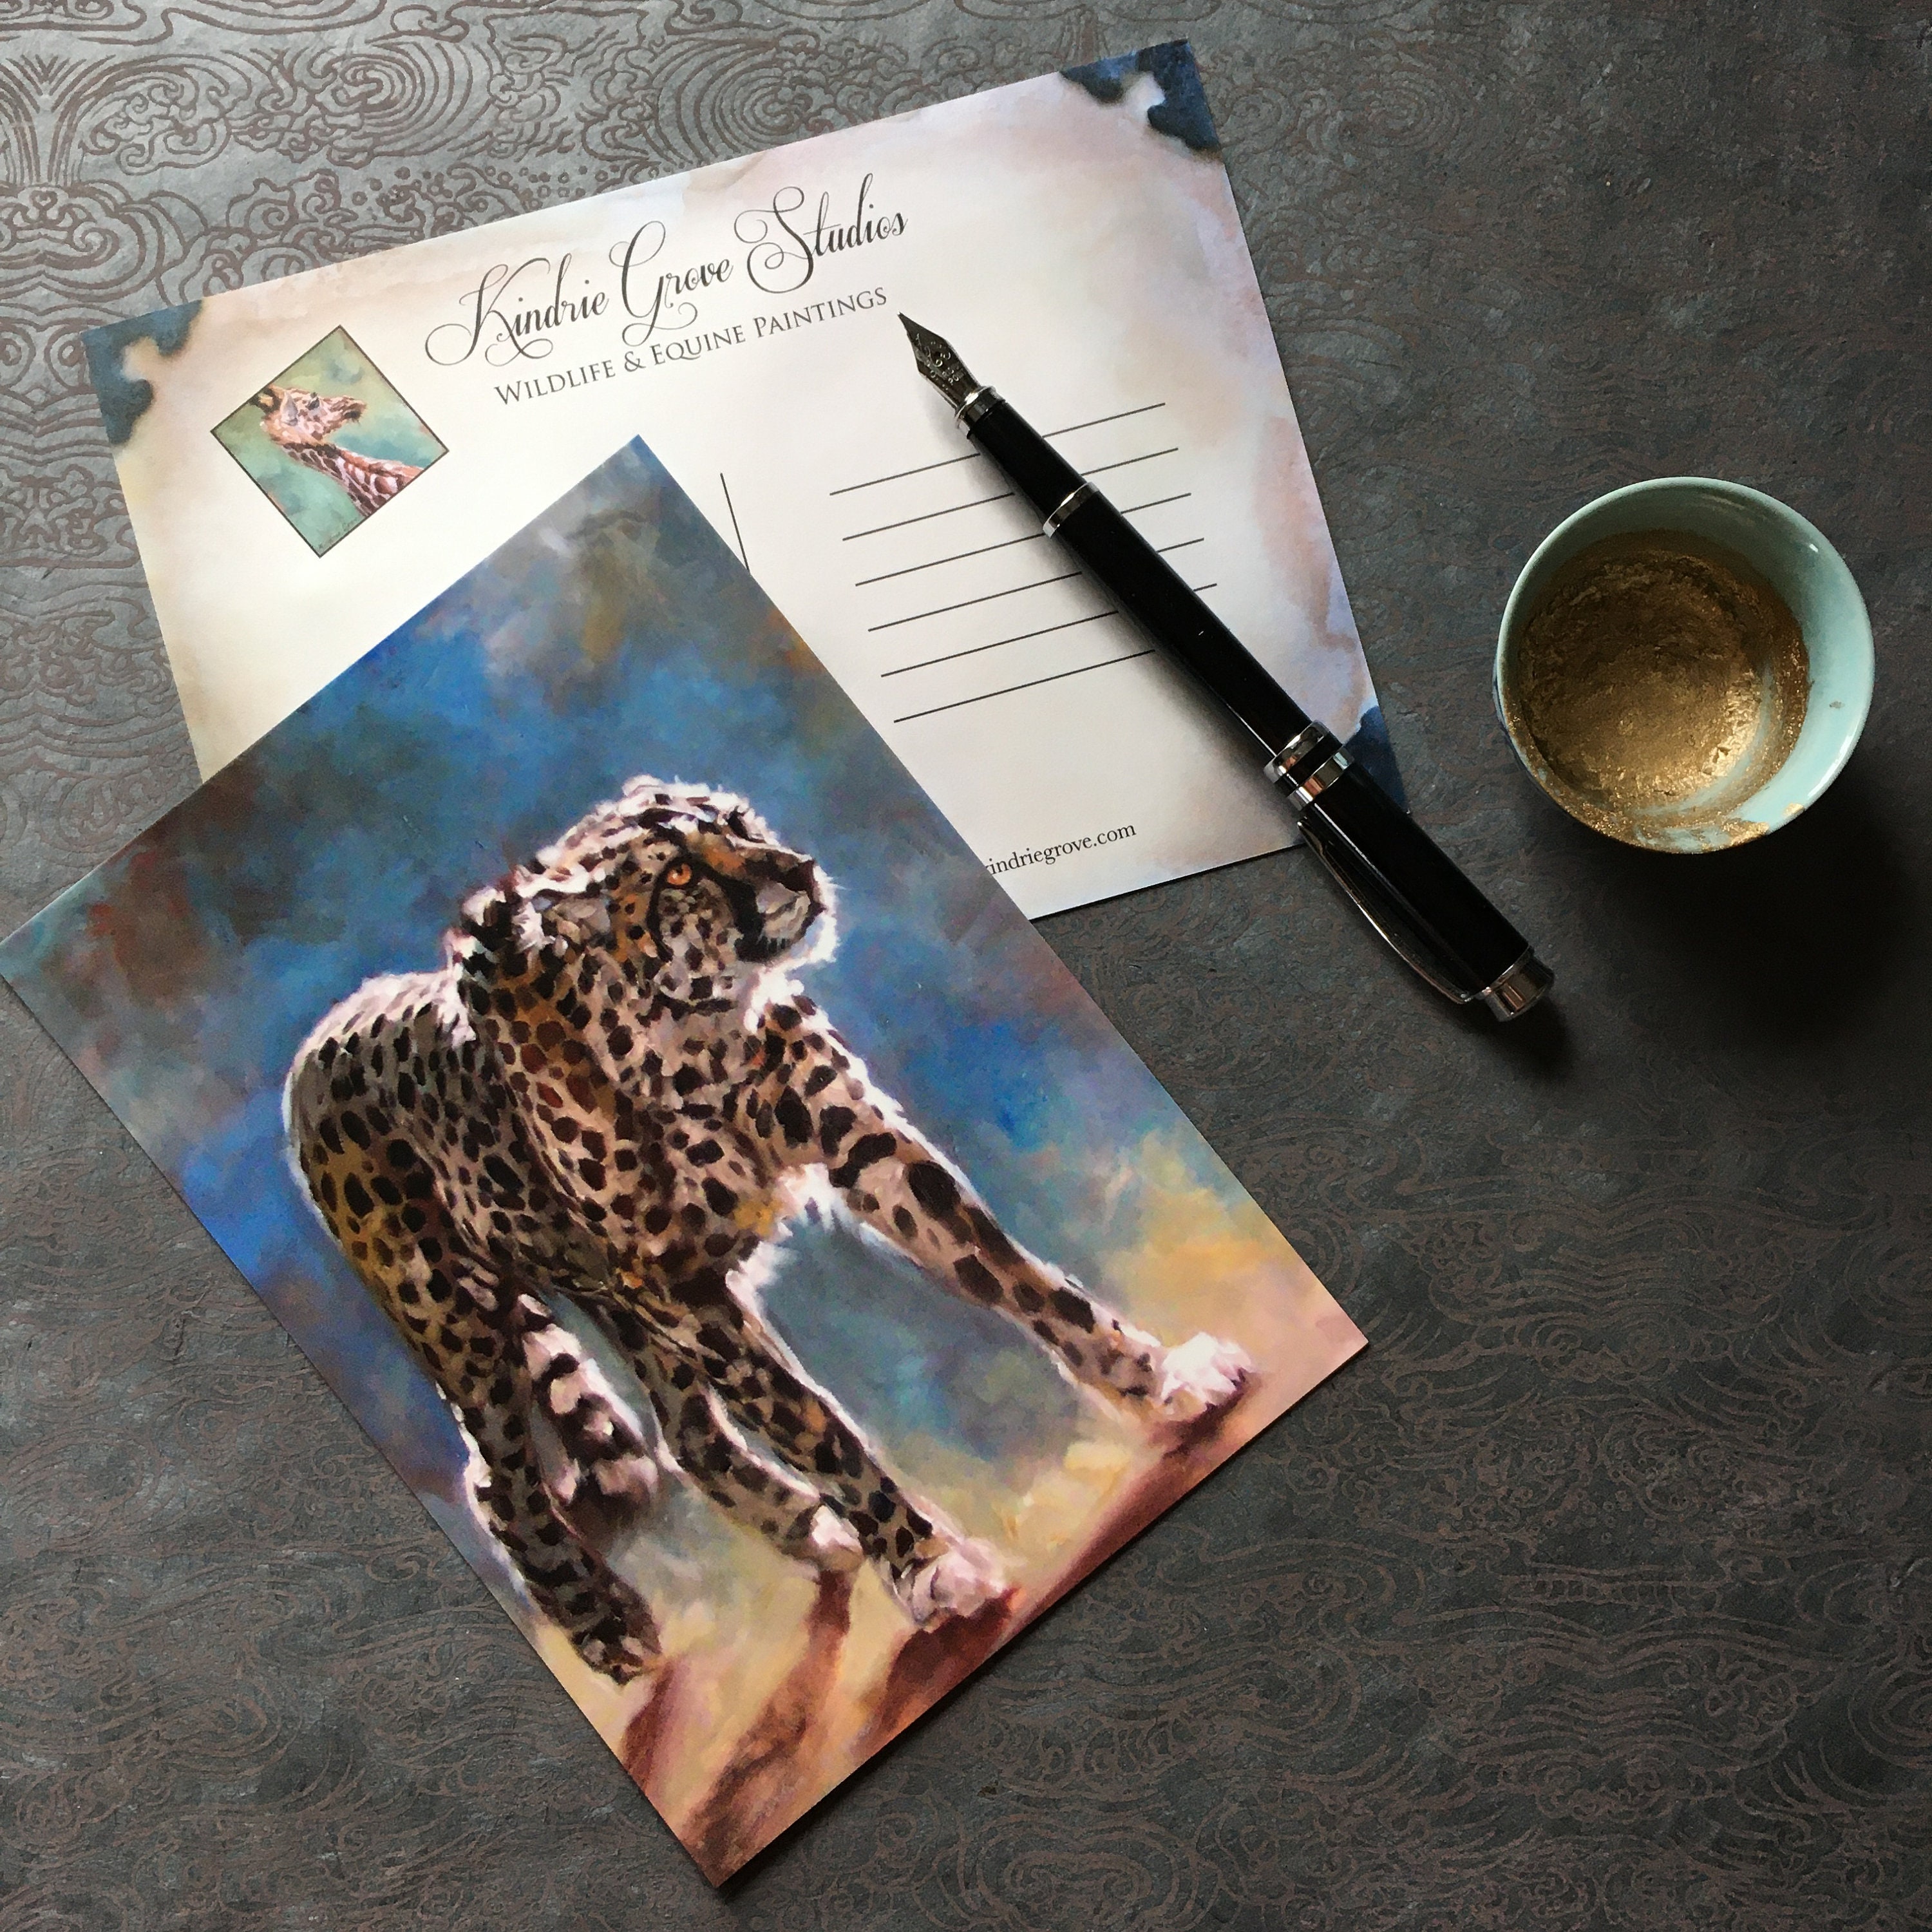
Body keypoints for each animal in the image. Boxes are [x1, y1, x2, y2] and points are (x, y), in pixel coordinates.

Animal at [285, 778, 1252, 1684]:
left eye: (737, 825)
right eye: (677, 875)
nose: (794, 870)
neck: (702, 1039)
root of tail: (318, 1045)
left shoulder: (867, 1157)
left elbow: (1023, 1281)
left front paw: (1161, 1379)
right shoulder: (687, 1292)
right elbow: (815, 1424)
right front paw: (928, 1566)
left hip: (622, 1312)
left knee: (688, 1438)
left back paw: (804, 1530)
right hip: (466, 1328)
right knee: (500, 1485)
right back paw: (608, 1627)